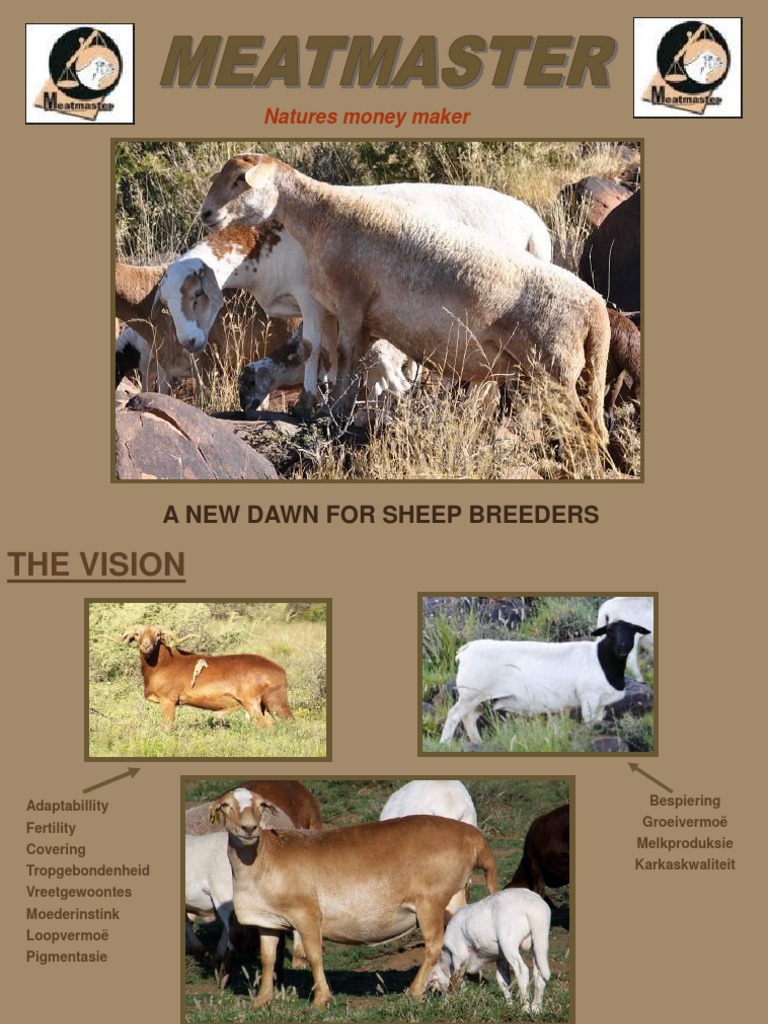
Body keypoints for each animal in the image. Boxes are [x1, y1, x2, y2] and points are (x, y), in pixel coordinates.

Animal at [118, 625, 293, 727]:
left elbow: (168, 726)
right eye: (137, 634)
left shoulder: (168, 700)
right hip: (266, 703)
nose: (146, 646)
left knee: (265, 724)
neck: (163, 663)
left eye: (157, 635)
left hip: (253, 701)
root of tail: (279, 671)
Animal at [200, 155, 609, 450]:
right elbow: (340, 361)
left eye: (240, 180)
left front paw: (334, 413)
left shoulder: (350, 303)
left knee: (585, 431)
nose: (206, 213)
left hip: (555, 370)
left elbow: (344, 361)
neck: (323, 218)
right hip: (567, 374)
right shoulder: (354, 317)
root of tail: (597, 313)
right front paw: (328, 409)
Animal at [209, 786, 498, 1008]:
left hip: (431, 900)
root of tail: (474, 838)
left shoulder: (306, 913)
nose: (249, 828)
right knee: (456, 940)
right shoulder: (269, 921)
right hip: (454, 898)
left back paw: (415, 991)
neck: (265, 857)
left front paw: (320, 1000)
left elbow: (314, 955)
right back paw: (455, 989)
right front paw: (261, 1000)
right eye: (226, 806)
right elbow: (268, 960)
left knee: (434, 945)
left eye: (260, 805)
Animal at [439, 619, 651, 744]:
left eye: (632, 630)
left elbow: (596, 722)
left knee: (469, 717)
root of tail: (466, 649)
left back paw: (477, 743)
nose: (622, 647)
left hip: (481, 698)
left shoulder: (600, 704)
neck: (602, 659)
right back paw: (445, 743)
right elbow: (588, 722)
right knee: (454, 715)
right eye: (609, 630)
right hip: (471, 693)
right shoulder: (589, 697)